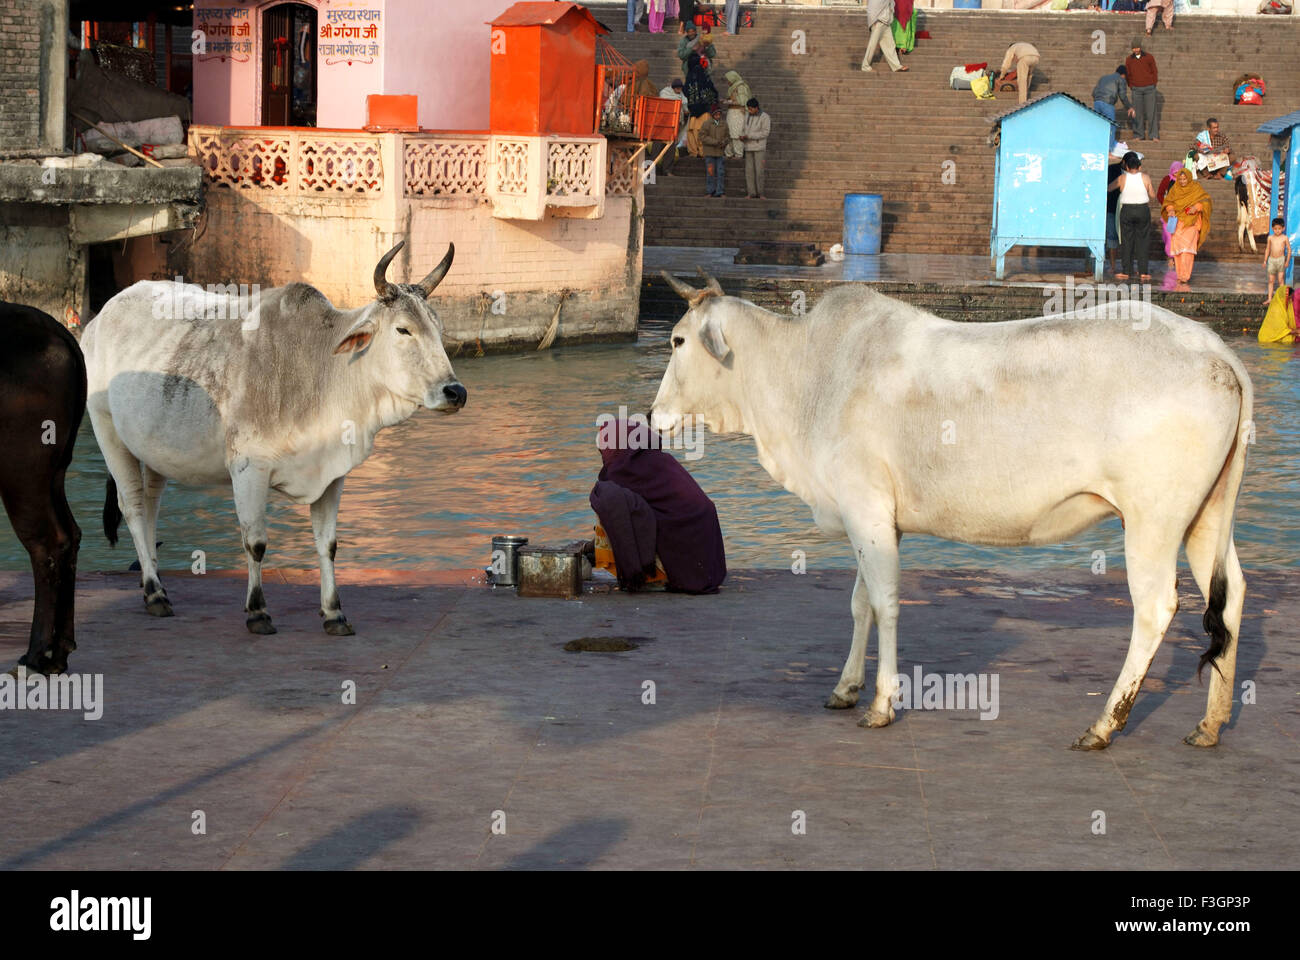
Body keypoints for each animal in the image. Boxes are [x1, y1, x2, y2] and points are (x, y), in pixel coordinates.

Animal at [81, 241, 465, 635]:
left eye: (438, 329)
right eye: (403, 330)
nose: (455, 392)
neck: (322, 369)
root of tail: (102, 314)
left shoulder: (332, 475)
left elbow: (327, 545)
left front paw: (334, 613)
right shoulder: (249, 469)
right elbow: (255, 543)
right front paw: (258, 611)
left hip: (155, 450)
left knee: (152, 508)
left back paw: (156, 582)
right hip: (108, 432)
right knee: (134, 507)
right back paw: (154, 592)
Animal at [652, 271, 1251, 750]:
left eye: (678, 341)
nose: (654, 416)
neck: (807, 377)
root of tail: (1216, 350)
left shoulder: (866, 508)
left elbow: (885, 602)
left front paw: (882, 704)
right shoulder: (871, 518)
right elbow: (860, 603)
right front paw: (846, 687)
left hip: (1152, 521)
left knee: (1155, 608)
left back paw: (1105, 724)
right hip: (1205, 518)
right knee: (1231, 597)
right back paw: (1211, 723)